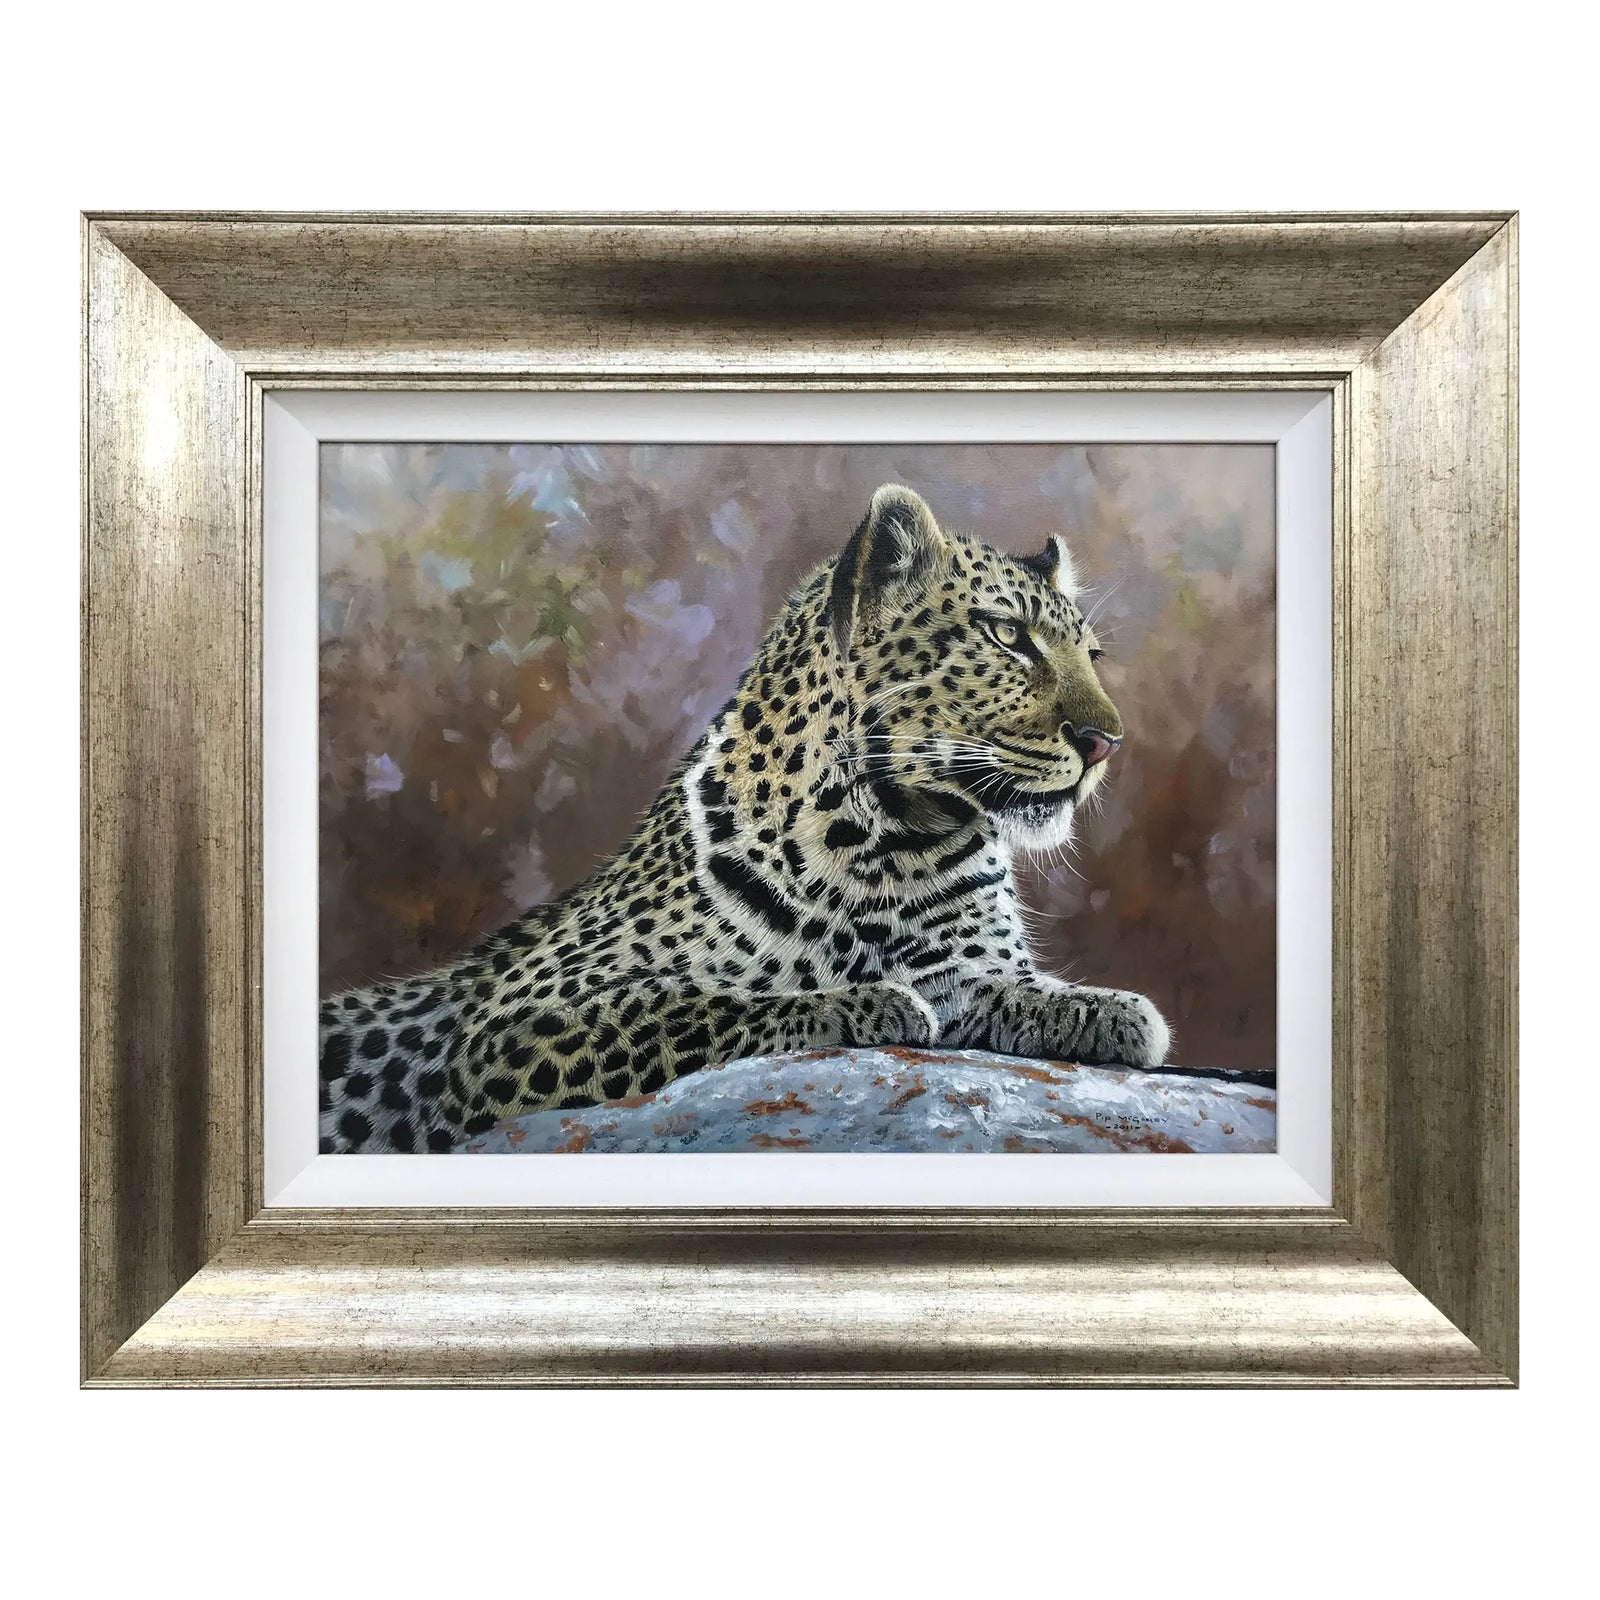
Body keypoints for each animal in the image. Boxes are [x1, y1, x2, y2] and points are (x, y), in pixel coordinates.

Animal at [319, 483, 1171, 1153]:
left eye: (1091, 655)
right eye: (1007, 636)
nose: (1106, 742)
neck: (890, 845)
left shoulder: (965, 970)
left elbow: (1013, 992)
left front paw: (1114, 1012)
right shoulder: (509, 1027)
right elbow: (694, 1007)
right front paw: (865, 1002)